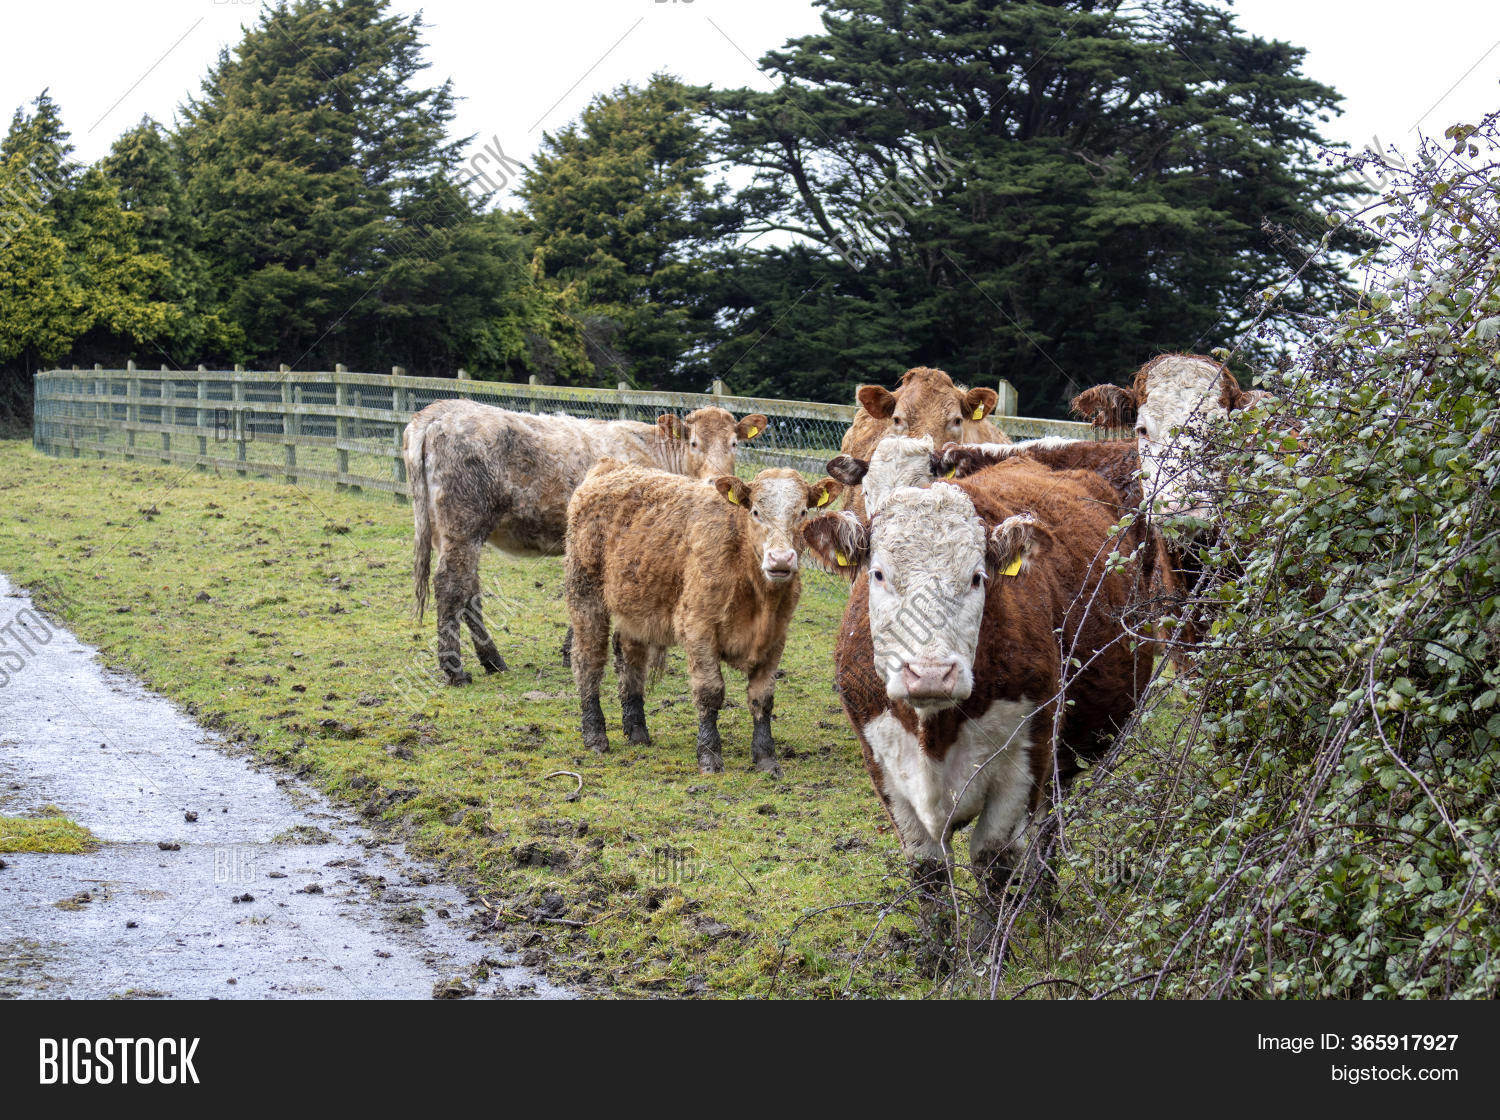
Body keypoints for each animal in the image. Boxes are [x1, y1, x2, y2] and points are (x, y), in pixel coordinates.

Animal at [404, 400, 767, 685]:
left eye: (734, 443)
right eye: (693, 443)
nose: (716, 480)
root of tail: (439, 411)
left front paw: (571, 651)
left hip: (448, 532)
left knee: (470, 592)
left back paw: (493, 661)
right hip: (463, 525)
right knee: (451, 587)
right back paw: (455, 672)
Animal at [566, 461, 842, 775]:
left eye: (803, 512)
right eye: (755, 511)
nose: (781, 559)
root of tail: (611, 466)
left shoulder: (776, 638)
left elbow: (762, 698)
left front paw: (766, 758)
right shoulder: (698, 627)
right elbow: (710, 691)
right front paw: (709, 755)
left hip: (635, 607)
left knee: (630, 660)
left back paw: (637, 731)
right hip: (585, 594)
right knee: (588, 659)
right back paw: (595, 735)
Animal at [801, 459, 1150, 906]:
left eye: (976, 577)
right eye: (878, 574)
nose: (930, 673)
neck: (934, 733)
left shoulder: (1024, 764)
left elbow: (993, 862)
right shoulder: (883, 768)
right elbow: (928, 872)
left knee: (1048, 825)